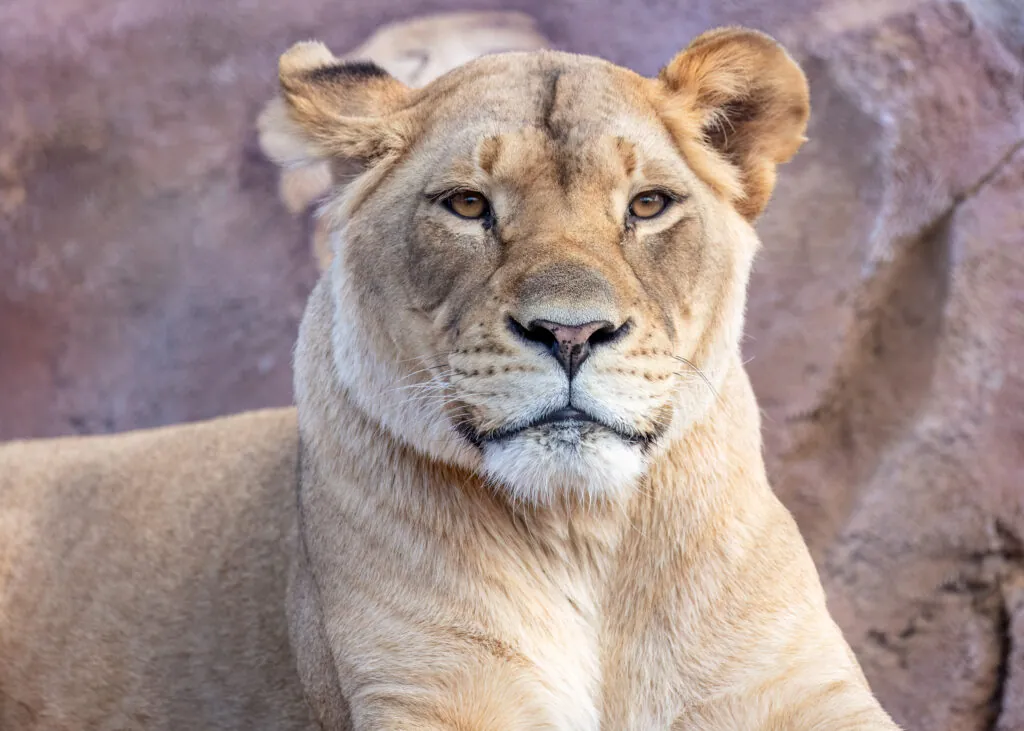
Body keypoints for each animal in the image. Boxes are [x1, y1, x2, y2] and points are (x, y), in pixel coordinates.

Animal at [0, 25, 902, 731]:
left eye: (647, 205)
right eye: (469, 205)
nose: (571, 332)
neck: (587, 540)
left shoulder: (799, 686)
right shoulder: (426, 689)